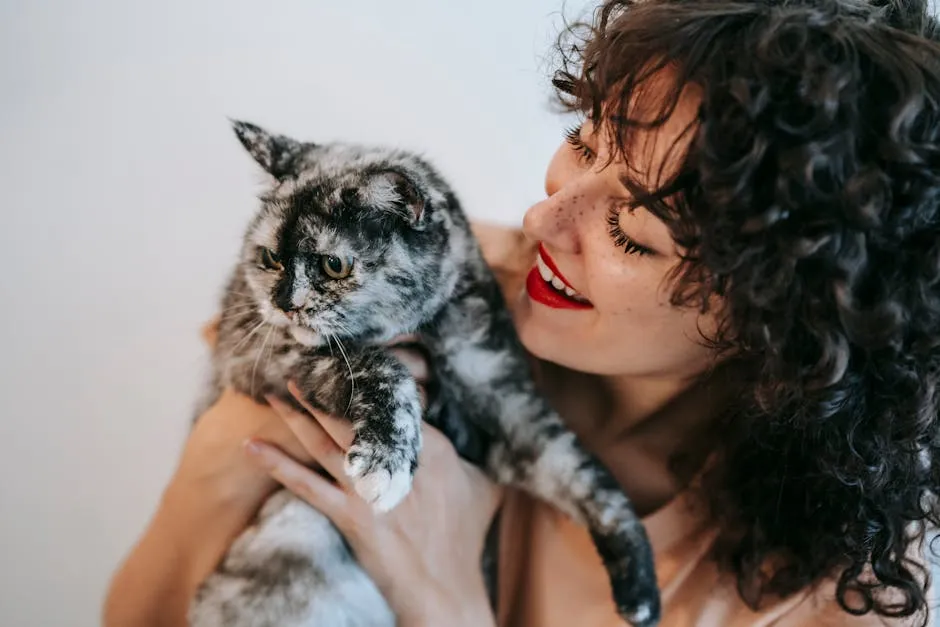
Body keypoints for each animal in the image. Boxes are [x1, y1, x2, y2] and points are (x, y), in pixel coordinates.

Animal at [187, 121, 660, 627]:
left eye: (334, 265)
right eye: (271, 258)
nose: (284, 303)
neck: (427, 332)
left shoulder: (505, 400)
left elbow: (582, 474)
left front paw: (641, 591)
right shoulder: (254, 351)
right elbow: (378, 365)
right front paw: (387, 463)